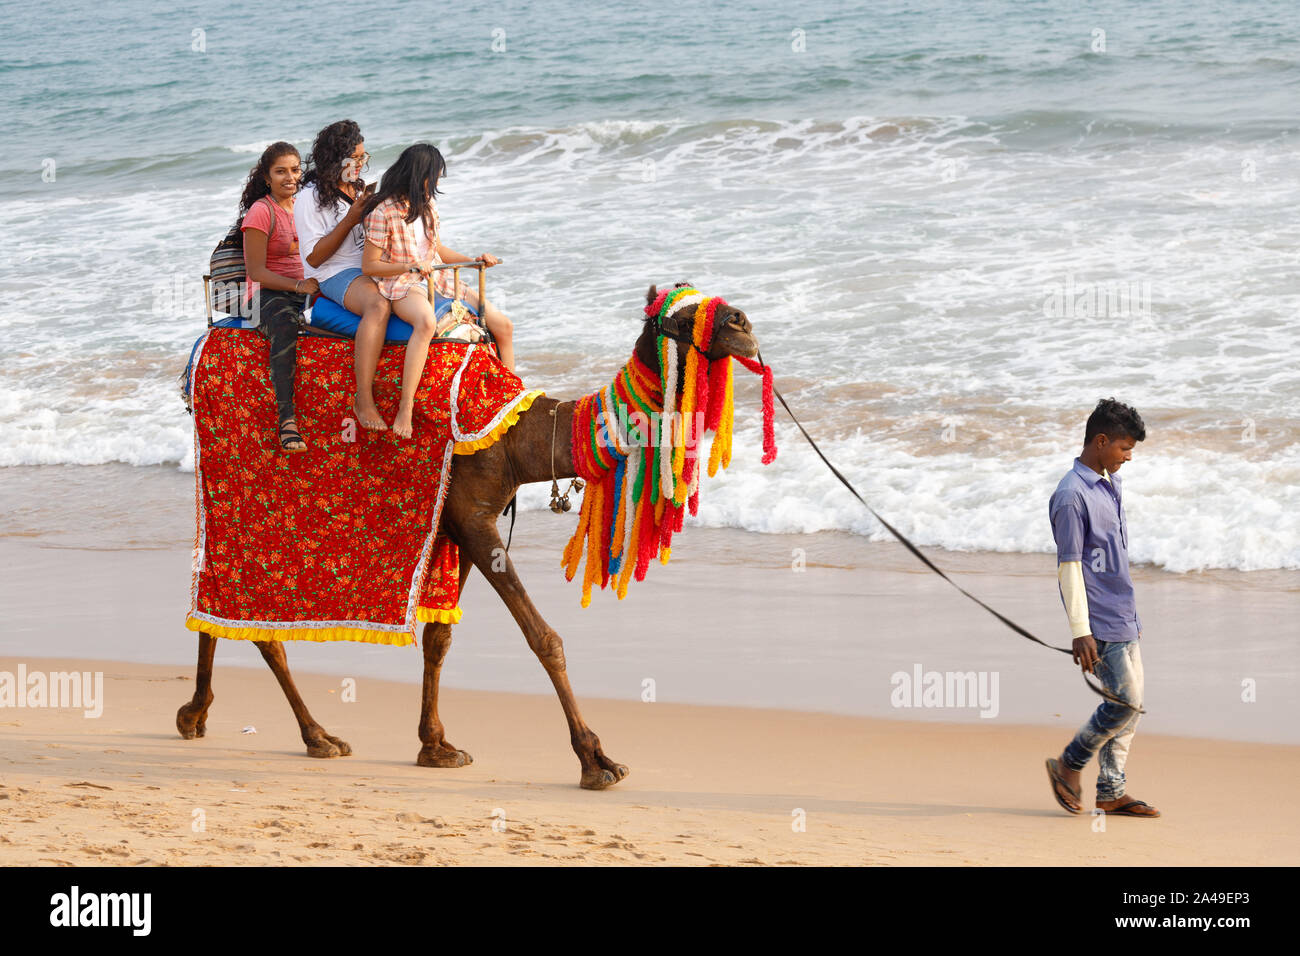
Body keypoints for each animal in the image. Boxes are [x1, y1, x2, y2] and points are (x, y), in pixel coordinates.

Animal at [176, 283, 759, 789]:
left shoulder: (465, 523)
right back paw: (306, 732)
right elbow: (544, 638)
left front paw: (435, 746)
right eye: (681, 317)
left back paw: (208, 717)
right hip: (246, 498)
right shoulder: (476, 523)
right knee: (241, 608)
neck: (517, 435)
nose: (744, 325)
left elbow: (440, 638)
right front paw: (596, 760)